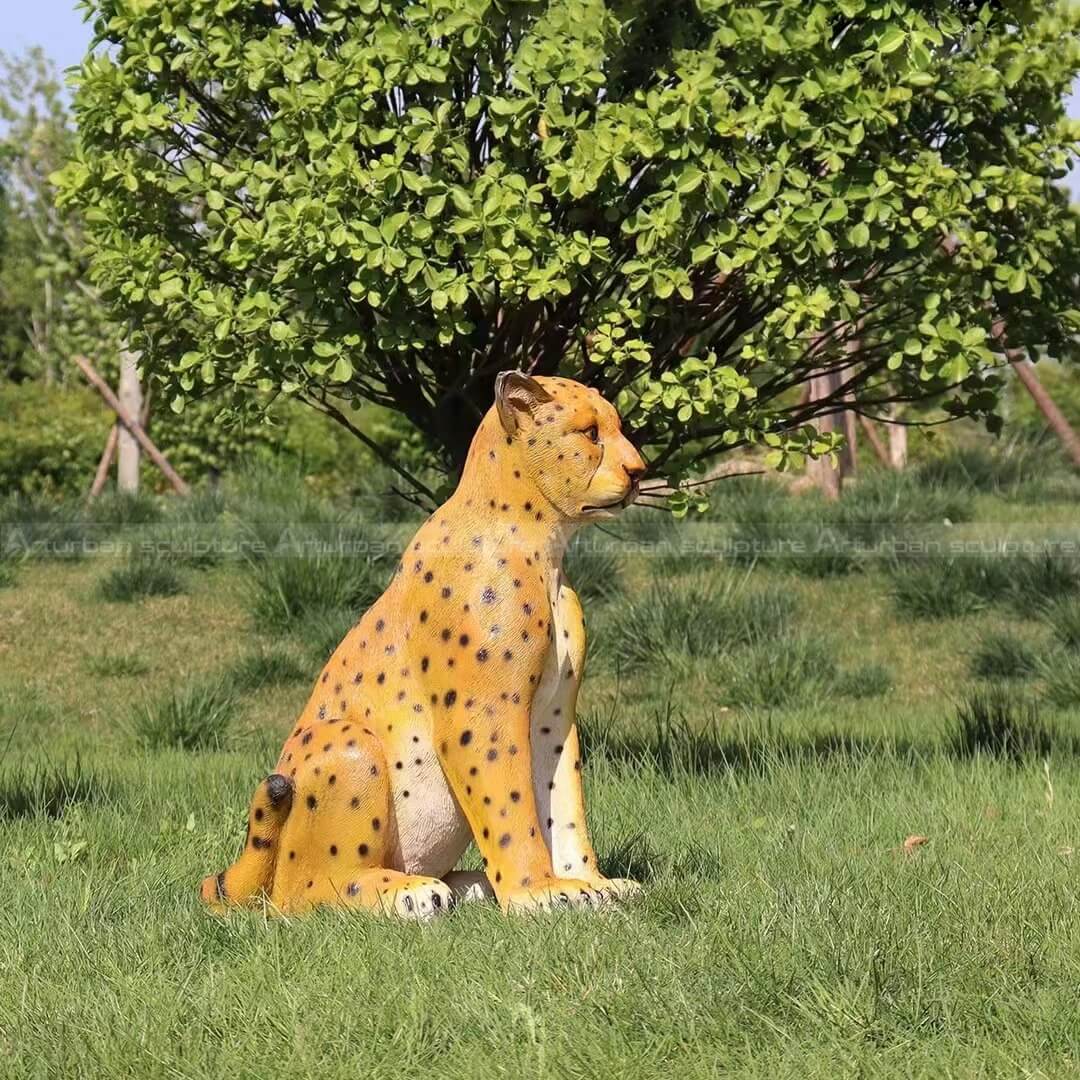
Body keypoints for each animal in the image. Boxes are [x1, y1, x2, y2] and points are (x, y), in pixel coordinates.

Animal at [200, 372, 647, 917]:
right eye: (589, 433)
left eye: (617, 427)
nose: (639, 471)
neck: (540, 542)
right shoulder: (483, 717)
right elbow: (511, 808)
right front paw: (535, 892)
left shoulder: (553, 718)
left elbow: (562, 803)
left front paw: (589, 882)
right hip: (350, 747)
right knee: (302, 894)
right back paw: (407, 892)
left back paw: (469, 885)